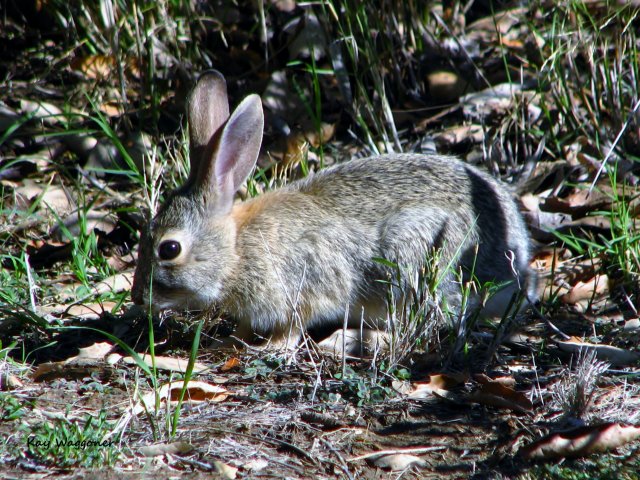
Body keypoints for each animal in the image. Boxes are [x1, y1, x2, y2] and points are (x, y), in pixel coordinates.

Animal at [131, 70, 537, 349]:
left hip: (416, 254)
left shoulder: (306, 283)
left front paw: (272, 348)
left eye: (170, 248)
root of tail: (516, 268)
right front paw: (230, 340)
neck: (236, 250)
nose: (139, 299)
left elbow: (296, 324)